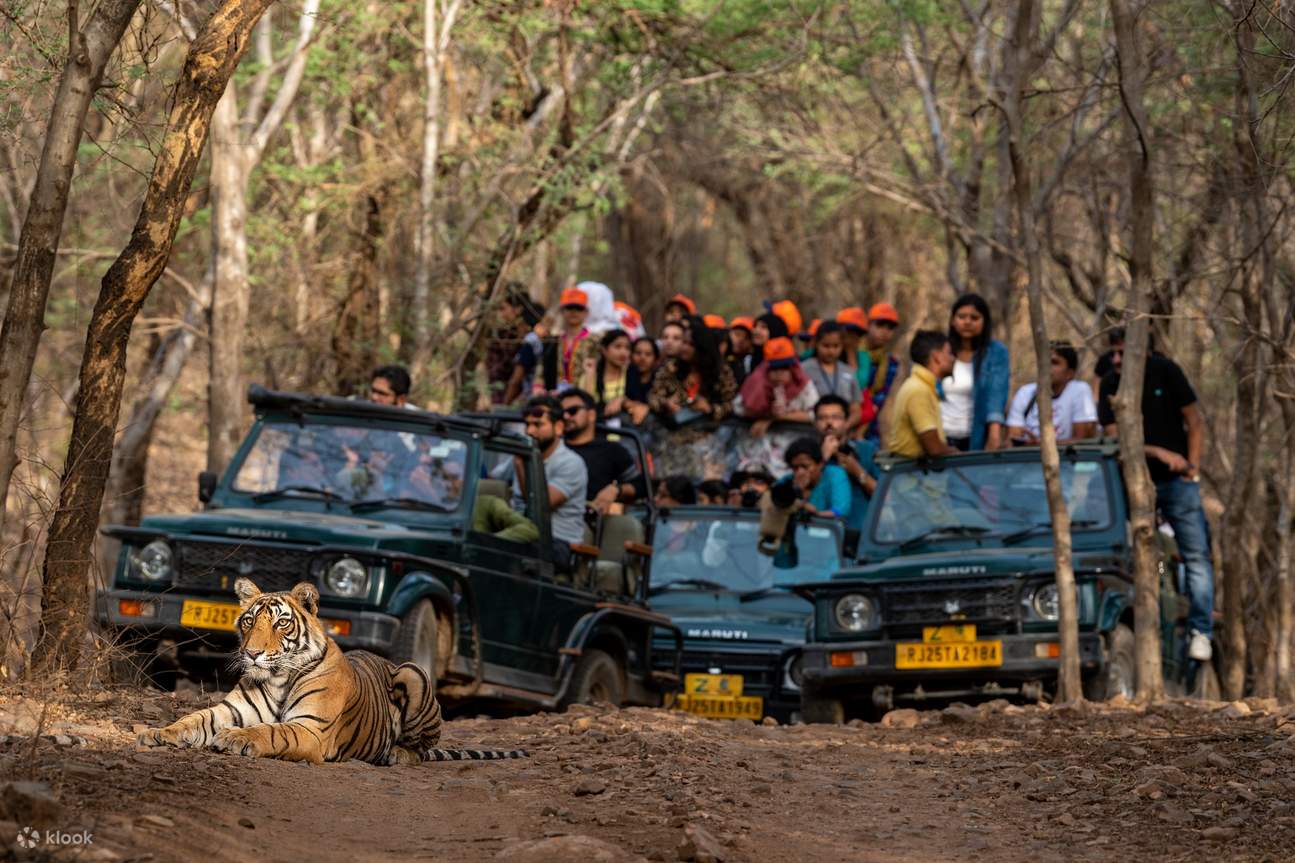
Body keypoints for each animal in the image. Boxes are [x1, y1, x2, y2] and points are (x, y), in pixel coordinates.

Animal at [136, 578, 527, 765]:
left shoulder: (311, 729)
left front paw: (236, 738)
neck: (277, 677)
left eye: (280, 623)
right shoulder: (230, 709)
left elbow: (272, 731)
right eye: (249, 621)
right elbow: (193, 719)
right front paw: (156, 733)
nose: (252, 654)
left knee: (422, 748)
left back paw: (397, 755)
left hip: (414, 672)